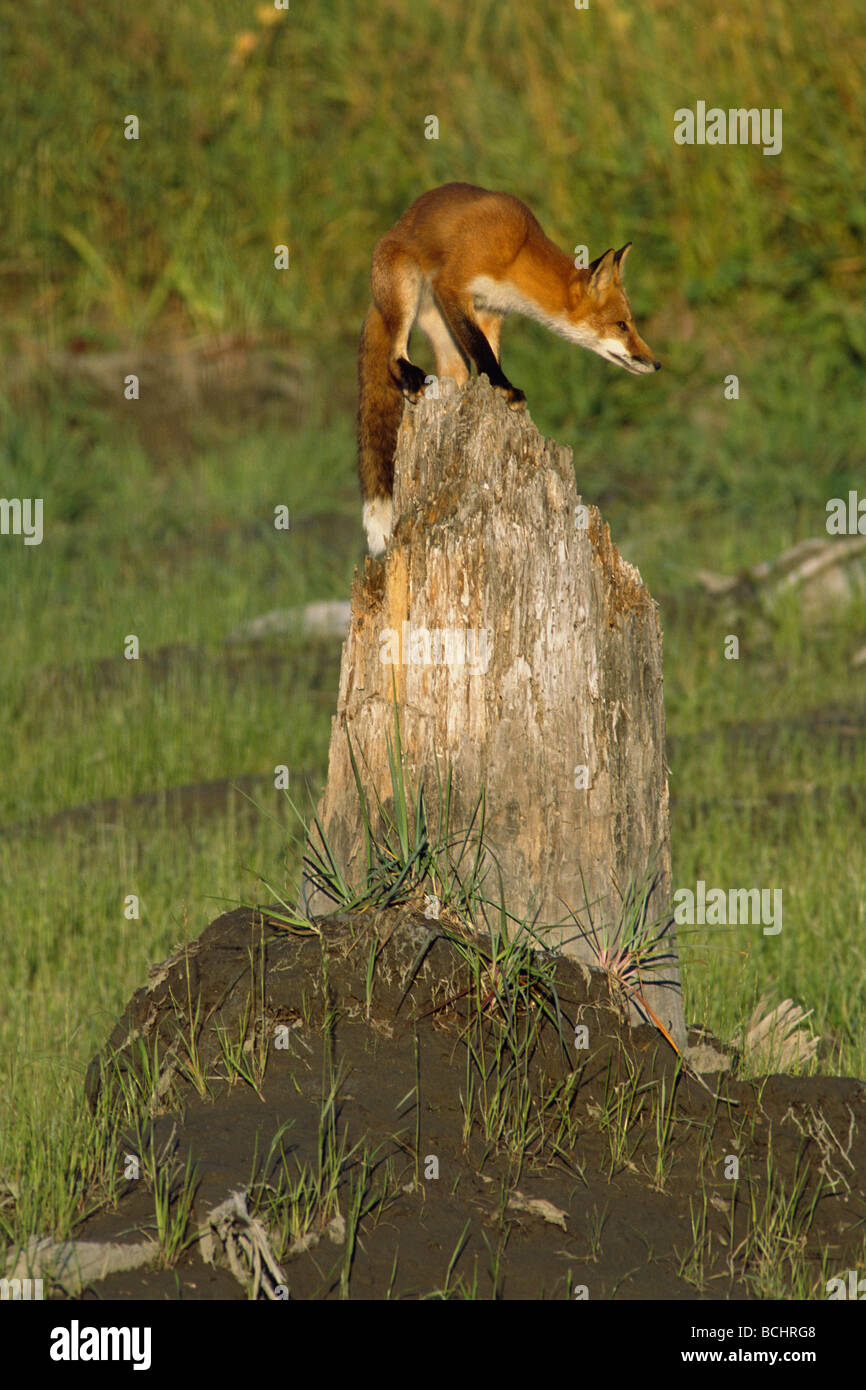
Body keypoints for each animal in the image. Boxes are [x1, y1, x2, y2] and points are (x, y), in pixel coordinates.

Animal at [358, 182, 660, 555]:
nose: (655, 363)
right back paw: (410, 376)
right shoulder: (453, 284)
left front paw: (497, 386)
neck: (518, 249)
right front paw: (507, 389)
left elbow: (487, 358)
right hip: (407, 288)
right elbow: (483, 352)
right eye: (621, 325)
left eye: (631, 324)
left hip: (441, 329)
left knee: (456, 371)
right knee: (393, 356)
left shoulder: (490, 309)